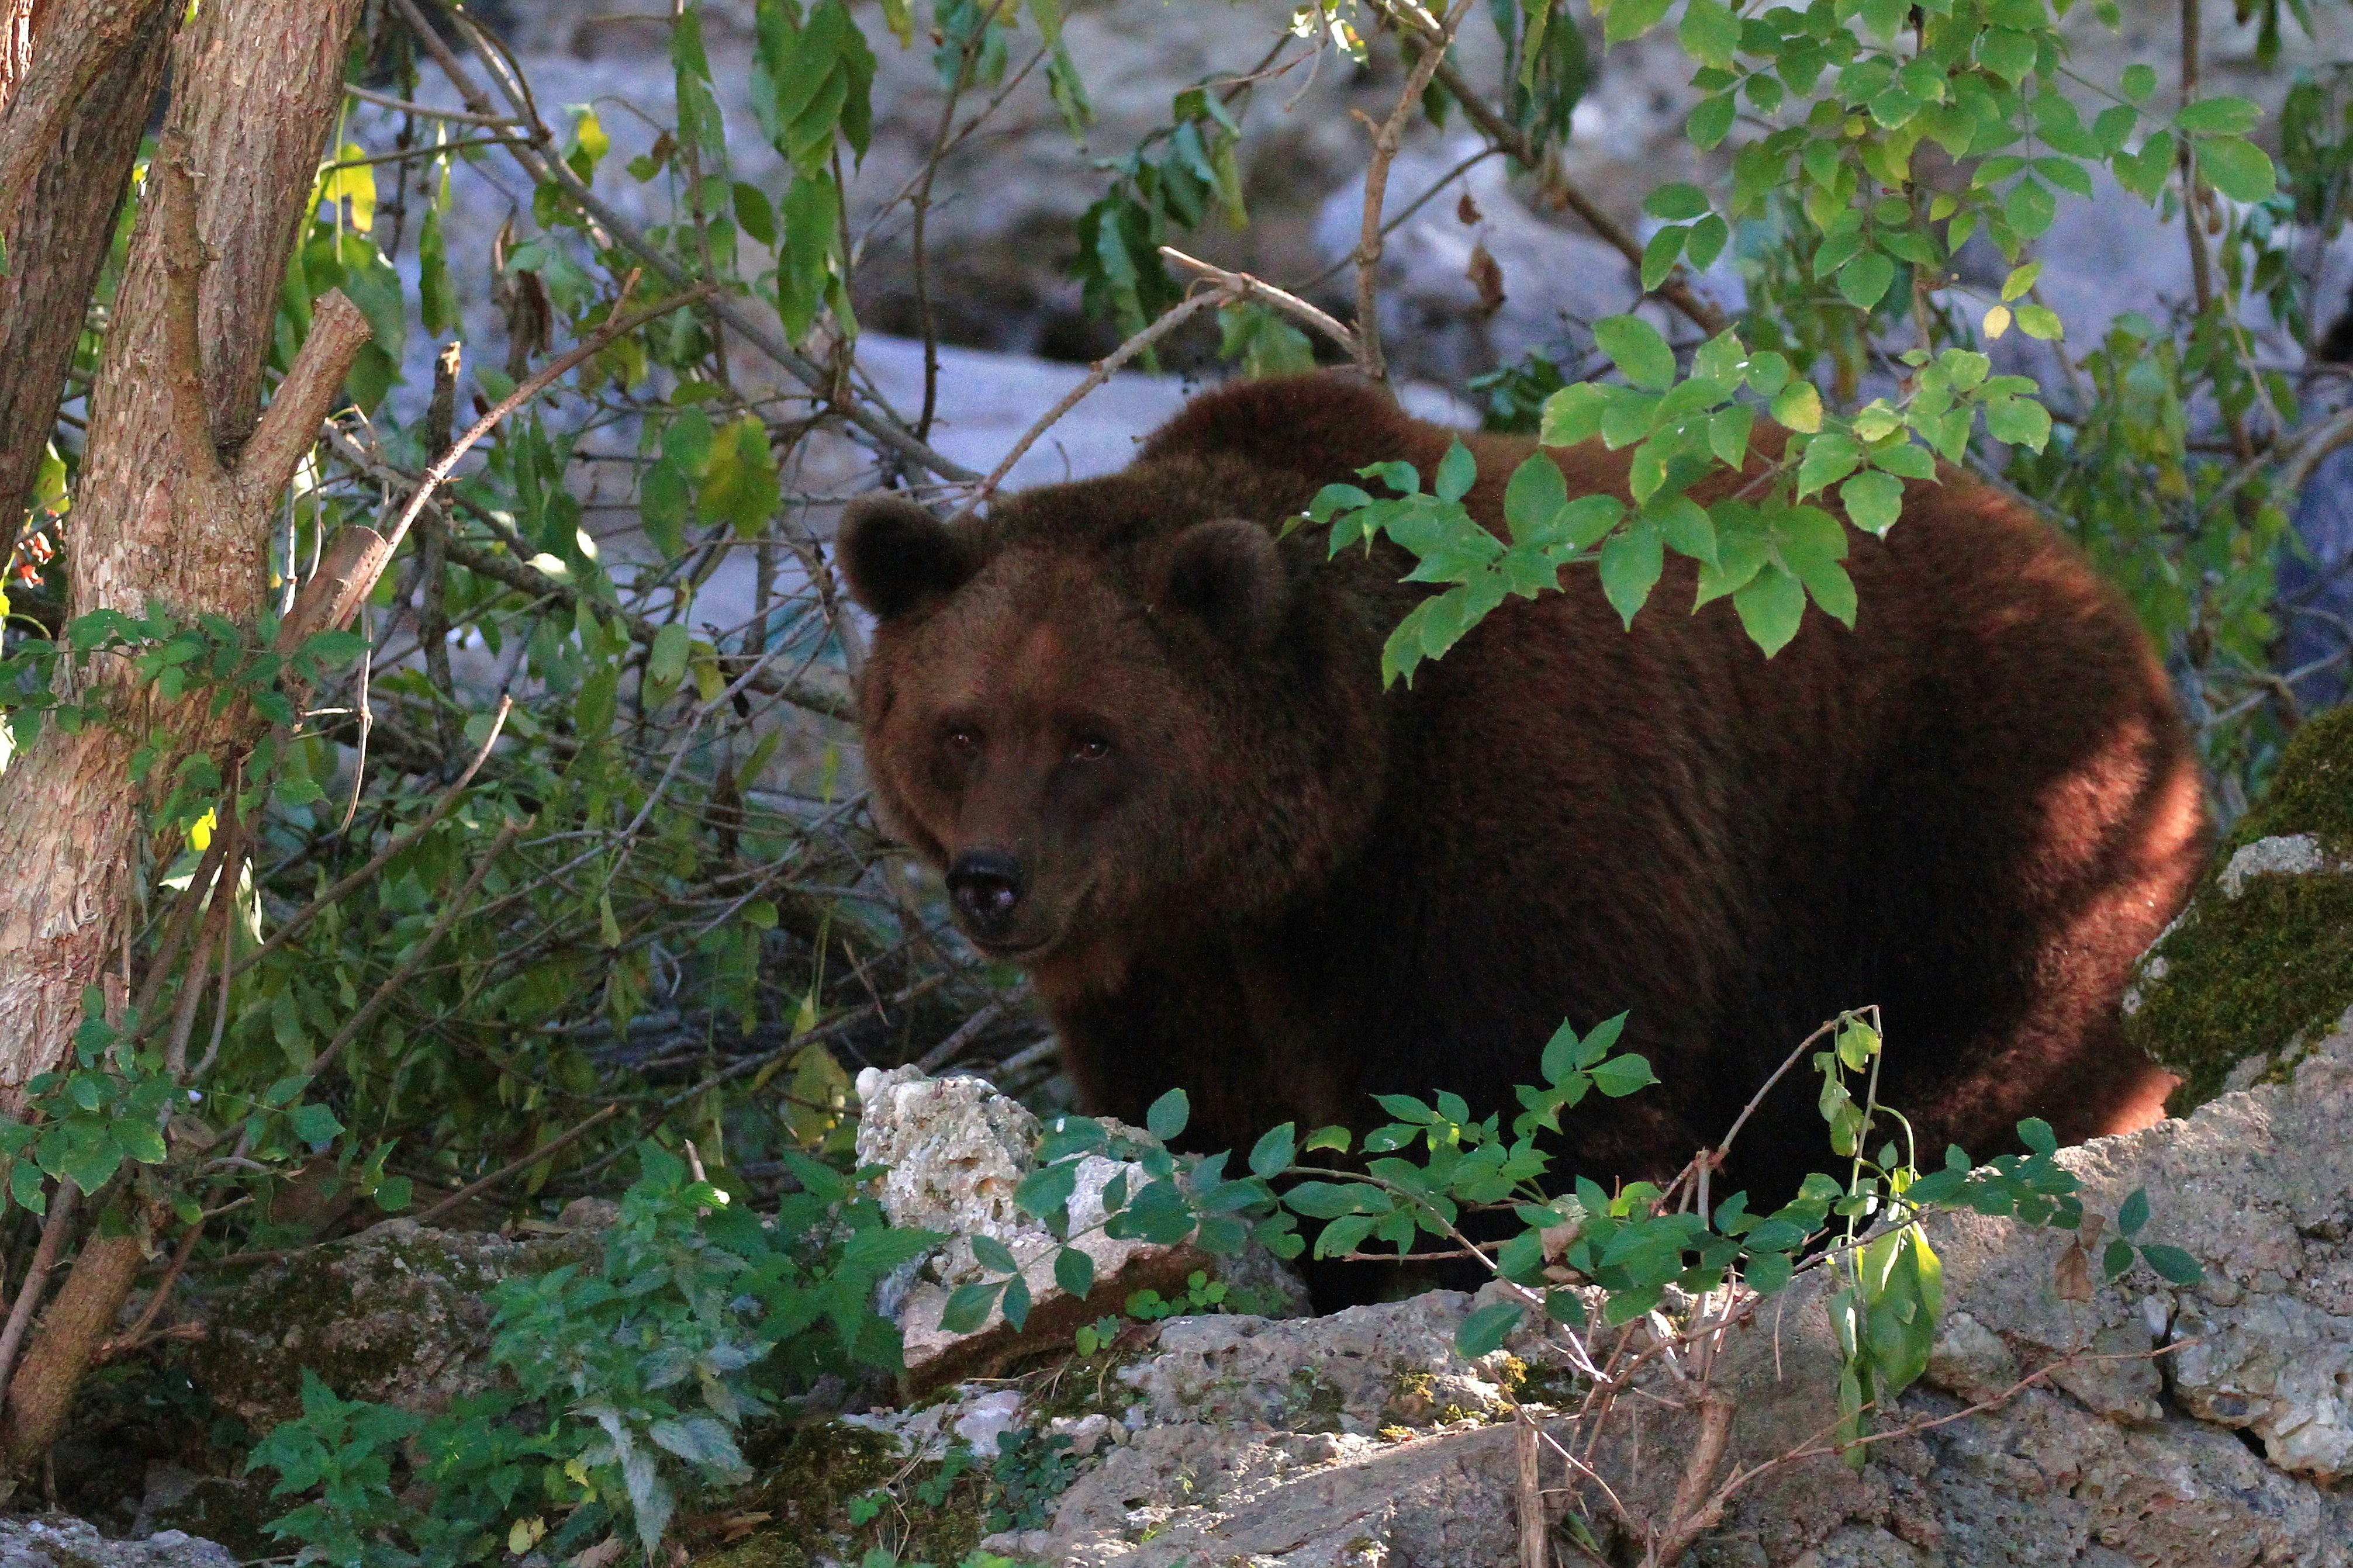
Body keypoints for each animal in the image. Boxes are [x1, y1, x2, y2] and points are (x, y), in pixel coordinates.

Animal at [838, 370, 2206, 1211]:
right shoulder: (1172, 961)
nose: (992, 882)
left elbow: (1532, 1100)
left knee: (1979, 1056)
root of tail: (2099, 590)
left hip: (1978, 809)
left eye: (1090, 738)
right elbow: (1212, 1125)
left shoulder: (1517, 811)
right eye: (959, 729)